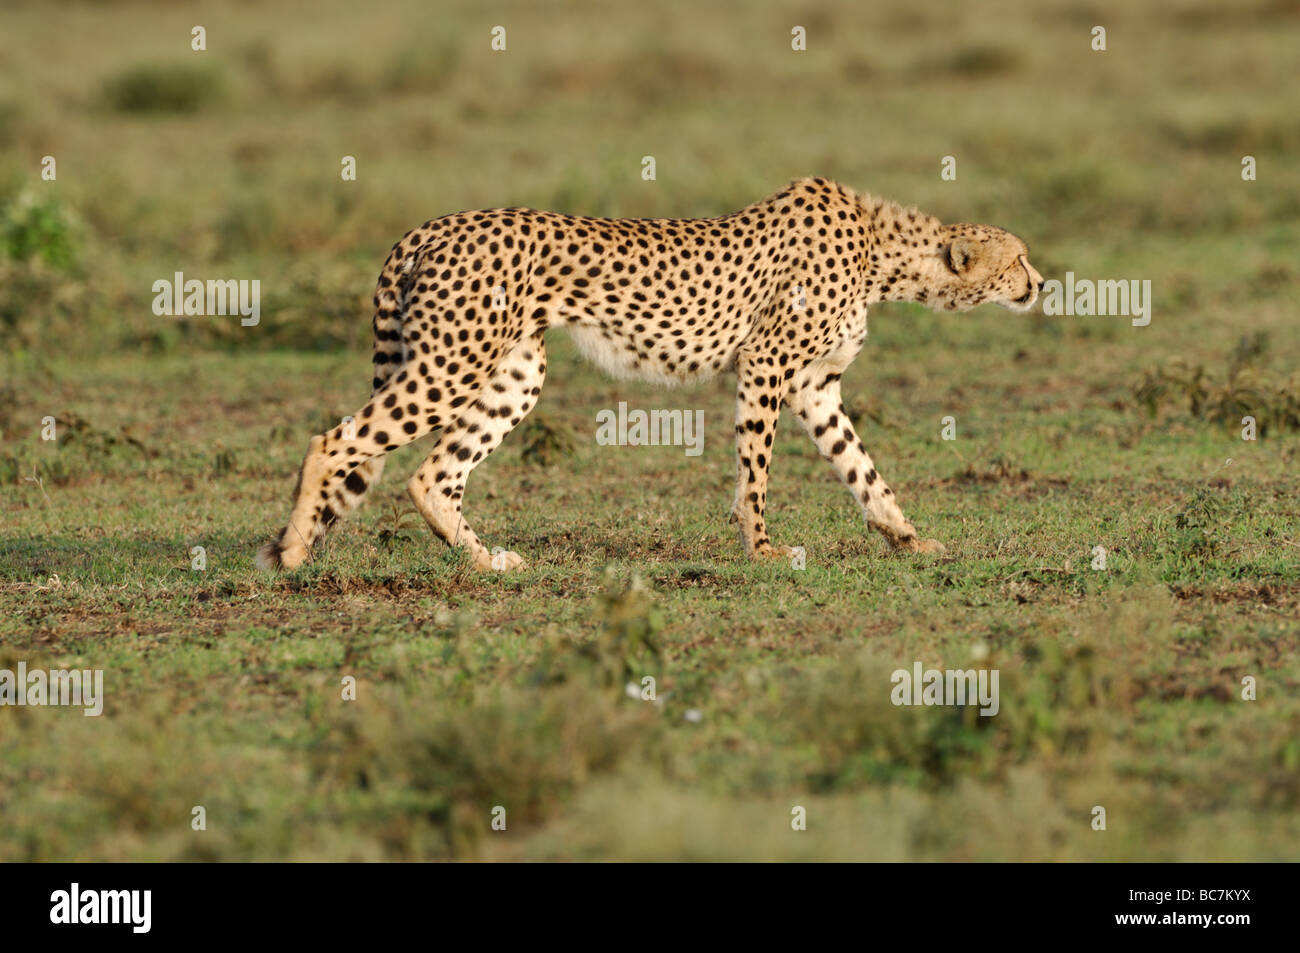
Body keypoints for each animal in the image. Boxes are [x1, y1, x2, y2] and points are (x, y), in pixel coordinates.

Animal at [257, 176, 1044, 572]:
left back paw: (487, 561)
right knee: (335, 441)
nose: (1041, 284)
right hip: (453, 364)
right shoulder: (767, 365)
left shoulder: (815, 384)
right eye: (1019, 257)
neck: (885, 251)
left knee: (430, 474)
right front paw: (762, 549)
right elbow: (755, 470)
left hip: (515, 373)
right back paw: (292, 551)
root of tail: (429, 226)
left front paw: (907, 538)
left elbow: (863, 468)